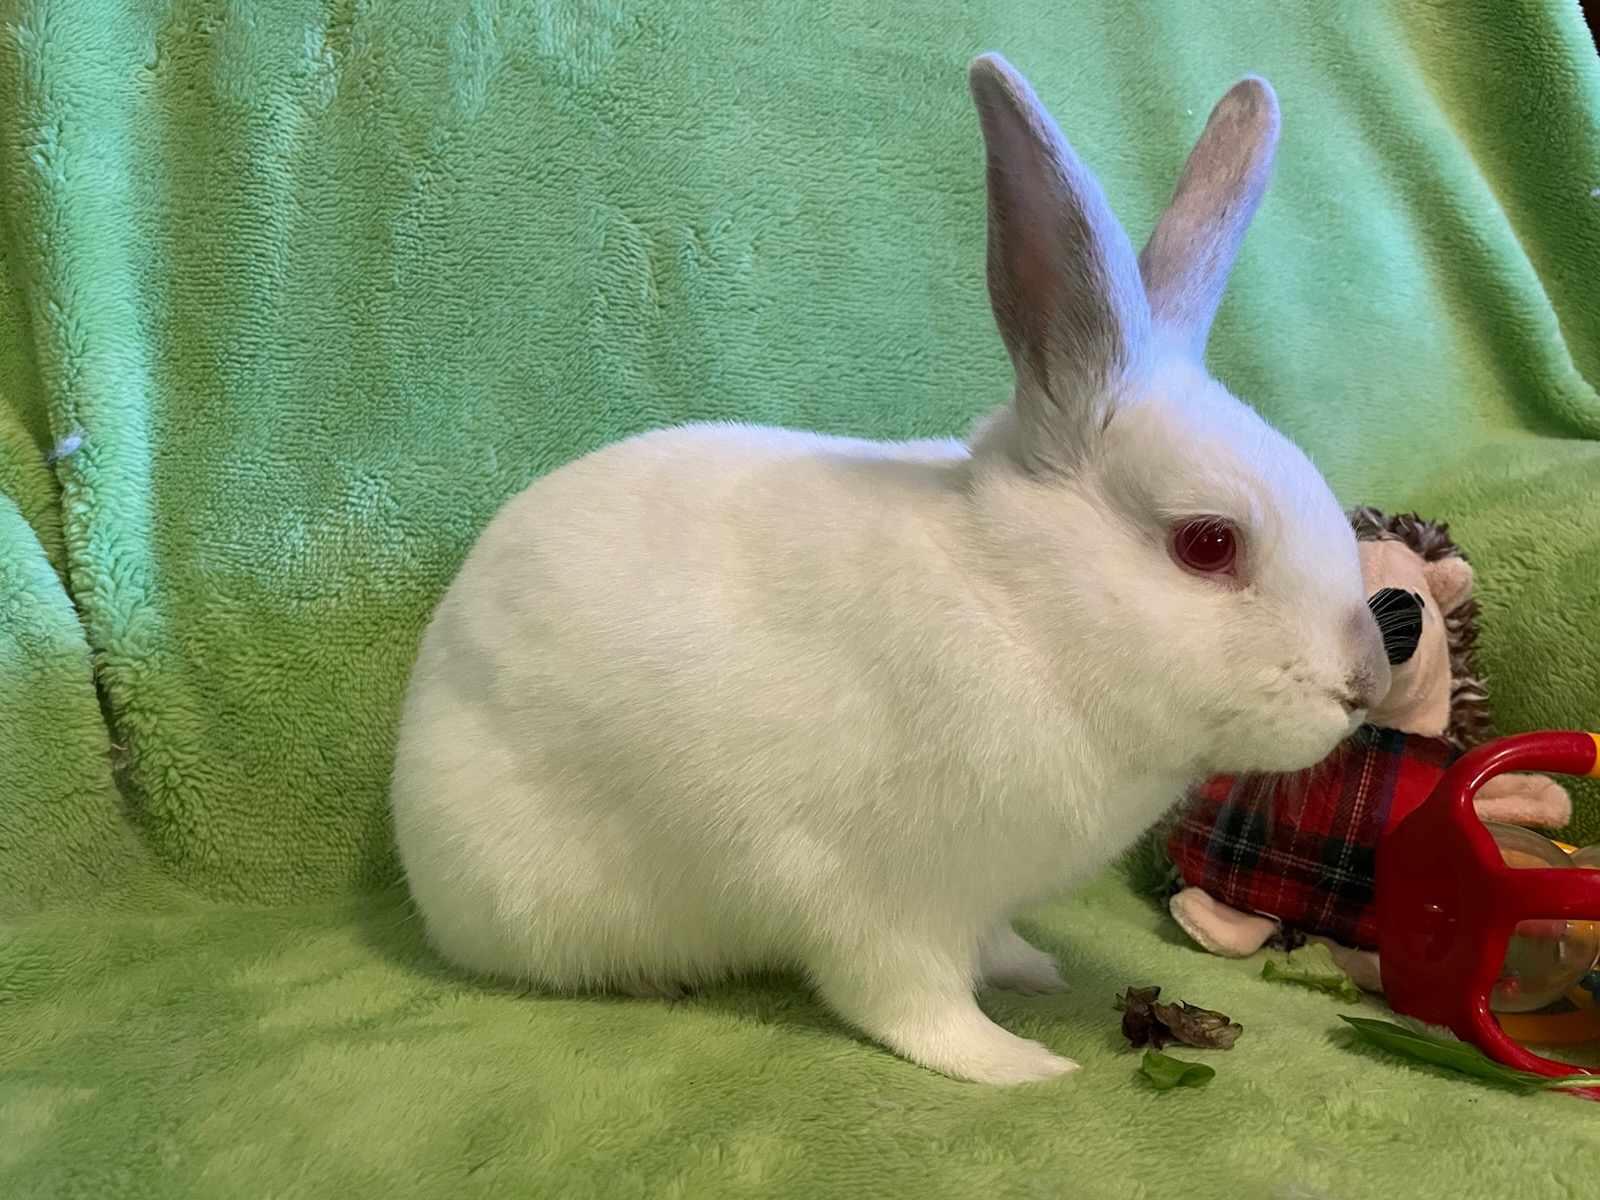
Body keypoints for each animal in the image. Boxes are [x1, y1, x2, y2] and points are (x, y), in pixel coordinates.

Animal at [391, 53, 1390, 1086]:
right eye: (1208, 544)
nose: (1368, 682)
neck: (1022, 612)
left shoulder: (973, 898)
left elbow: (988, 945)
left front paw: (1032, 969)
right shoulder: (880, 904)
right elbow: (911, 1005)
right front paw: (1020, 1065)